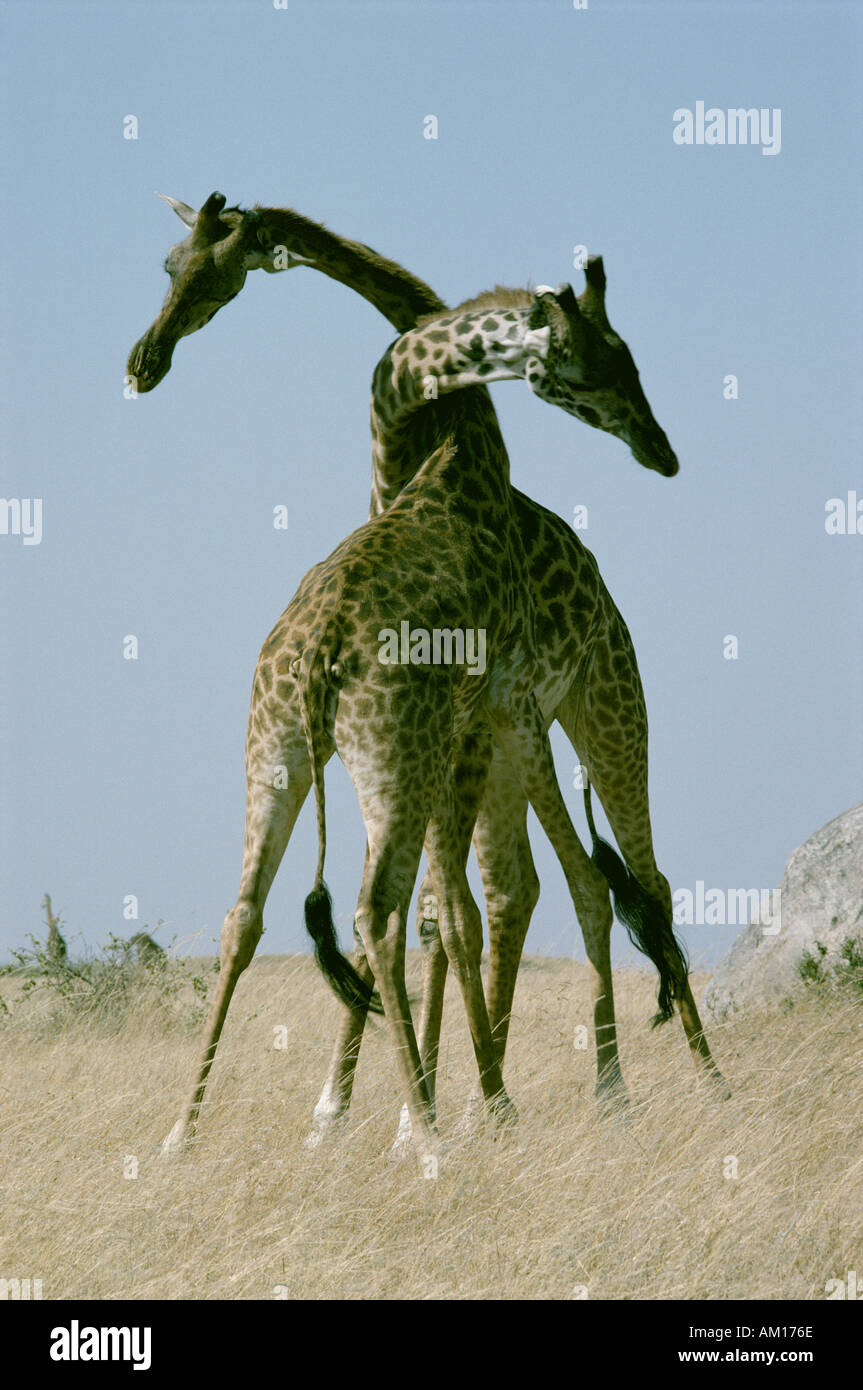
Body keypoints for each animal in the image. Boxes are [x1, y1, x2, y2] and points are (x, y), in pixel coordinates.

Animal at [127, 196, 727, 1149]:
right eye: (171, 264)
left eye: (207, 264)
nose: (144, 362)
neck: (437, 445)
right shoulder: (474, 722)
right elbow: (447, 912)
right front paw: (372, 1110)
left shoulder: (476, 719)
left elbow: (450, 913)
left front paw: (426, 1106)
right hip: (439, 747)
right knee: (513, 891)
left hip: (592, 716)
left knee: (613, 882)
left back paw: (669, 1086)